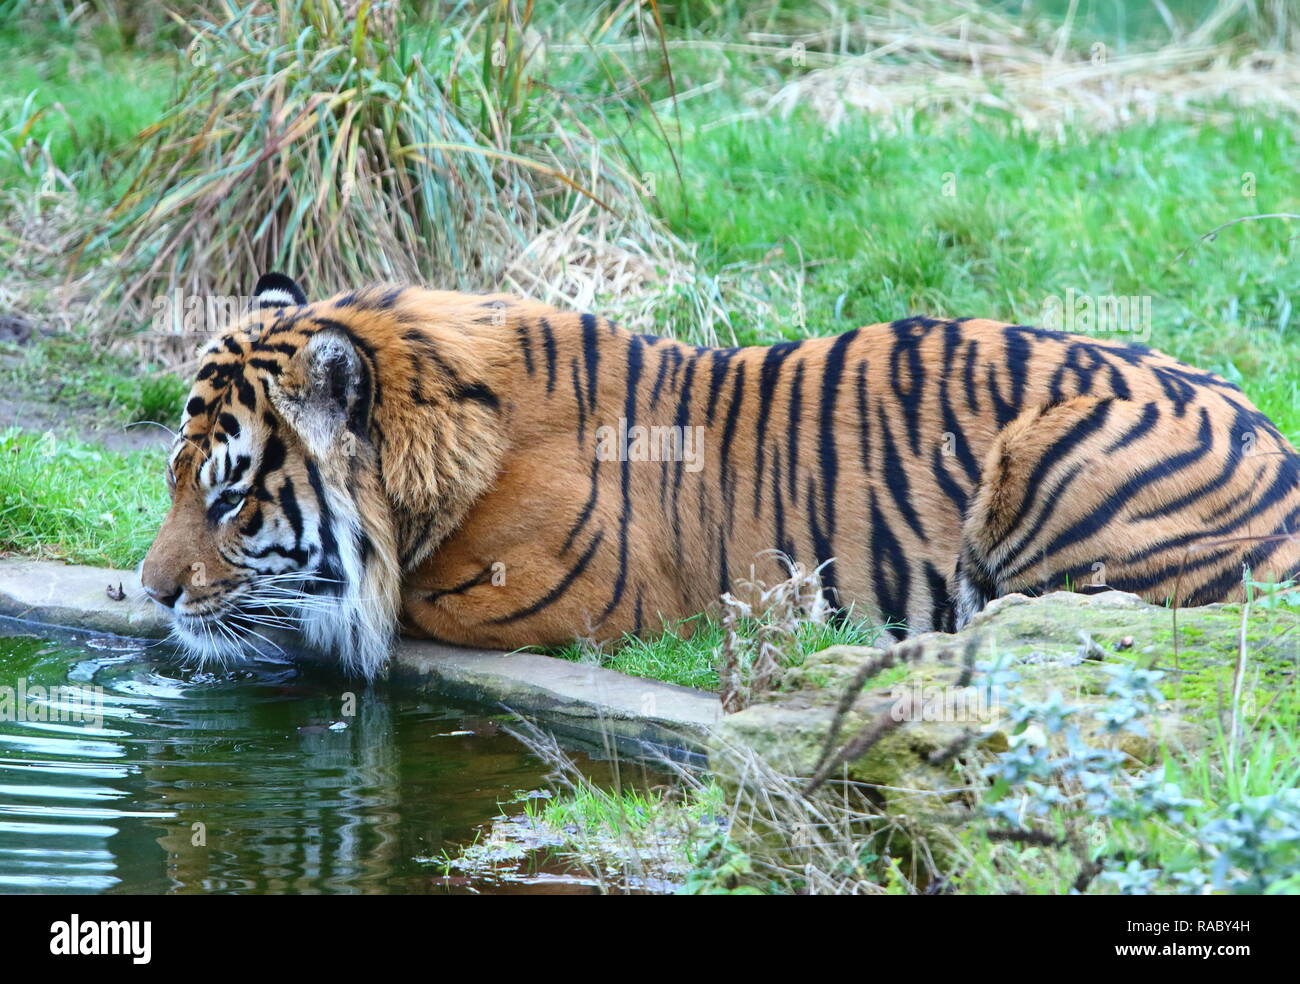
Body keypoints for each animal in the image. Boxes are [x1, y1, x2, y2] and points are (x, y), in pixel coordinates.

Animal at [140, 272, 1300, 678]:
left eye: (231, 498)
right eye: (173, 480)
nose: (150, 595)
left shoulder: (544, 603)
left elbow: (371, 602)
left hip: (1052, 457)